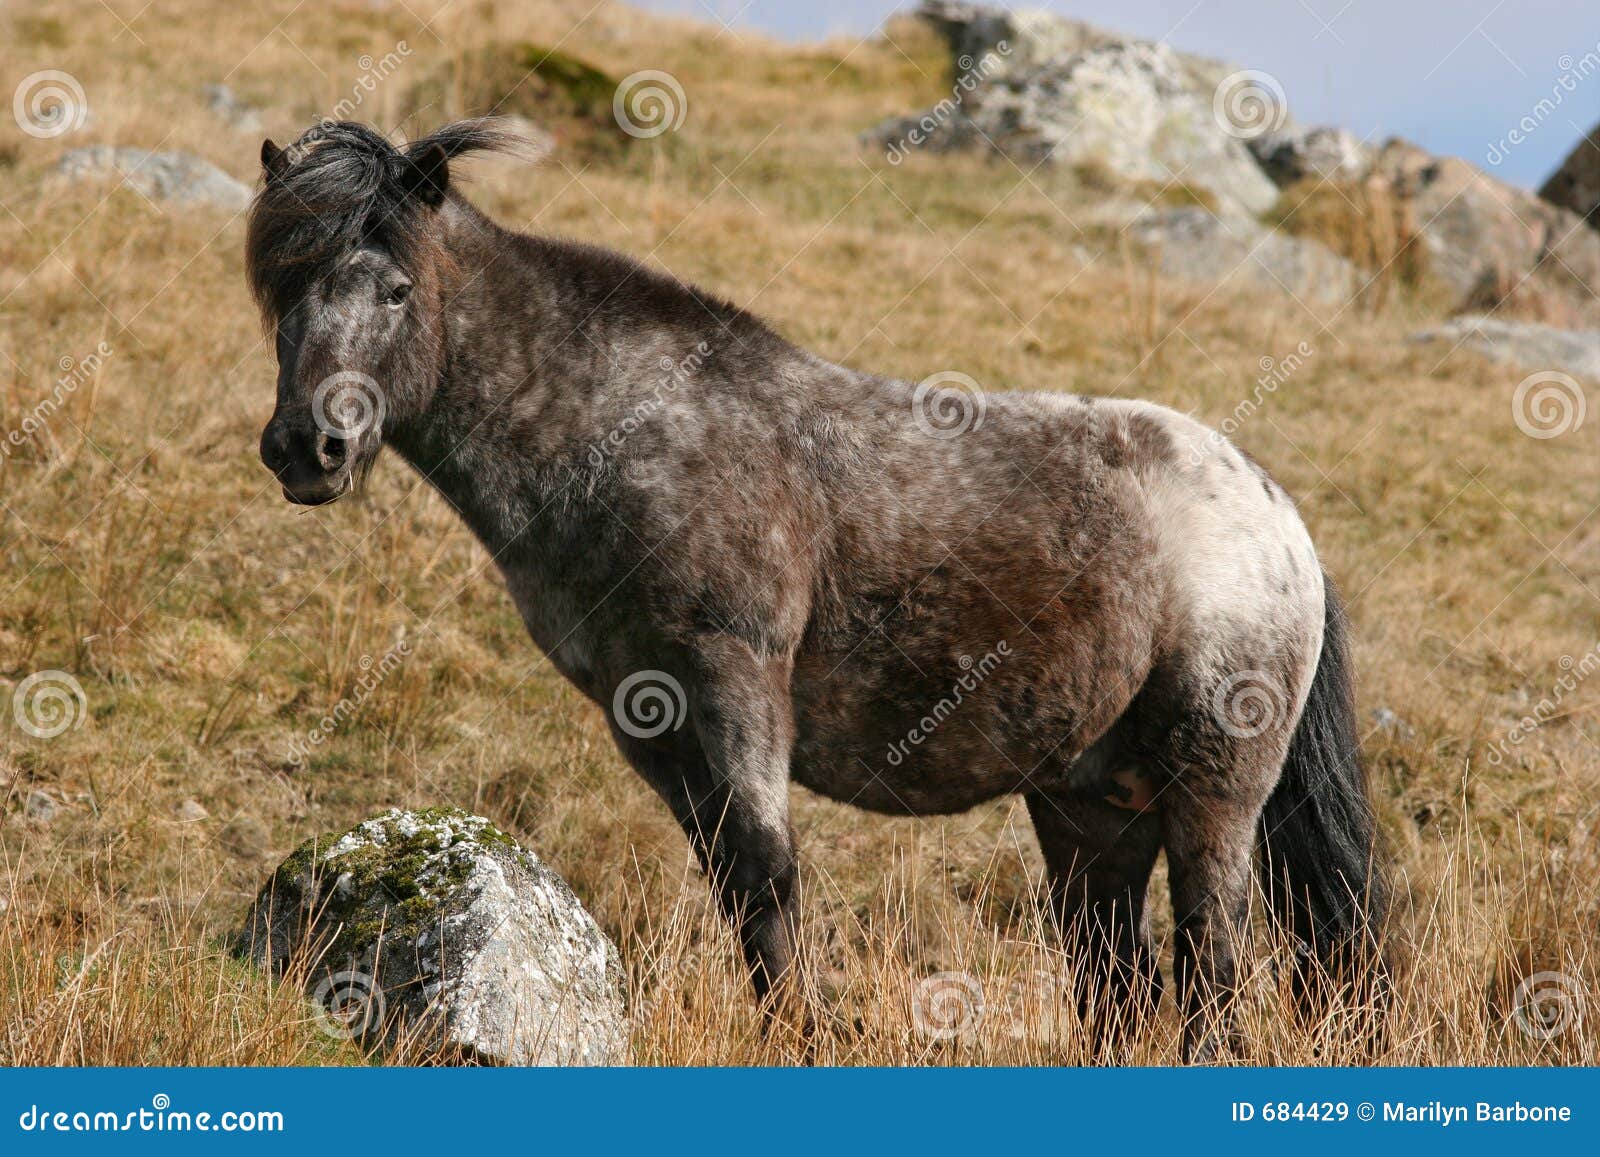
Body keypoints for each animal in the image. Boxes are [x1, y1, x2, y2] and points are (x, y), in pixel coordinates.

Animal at [247, 119, 1385, 1060]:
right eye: (281, 294)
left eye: (397, 290)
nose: (309, 448)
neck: (629, 428)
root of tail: (1279, 519)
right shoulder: (650, 724)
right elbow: (731, 880)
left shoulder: (736, 679)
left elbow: (765, 865)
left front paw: (802, 1037)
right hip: (1089, 810)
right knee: (1119, 982)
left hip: (1212, 796)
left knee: (1213, 958)